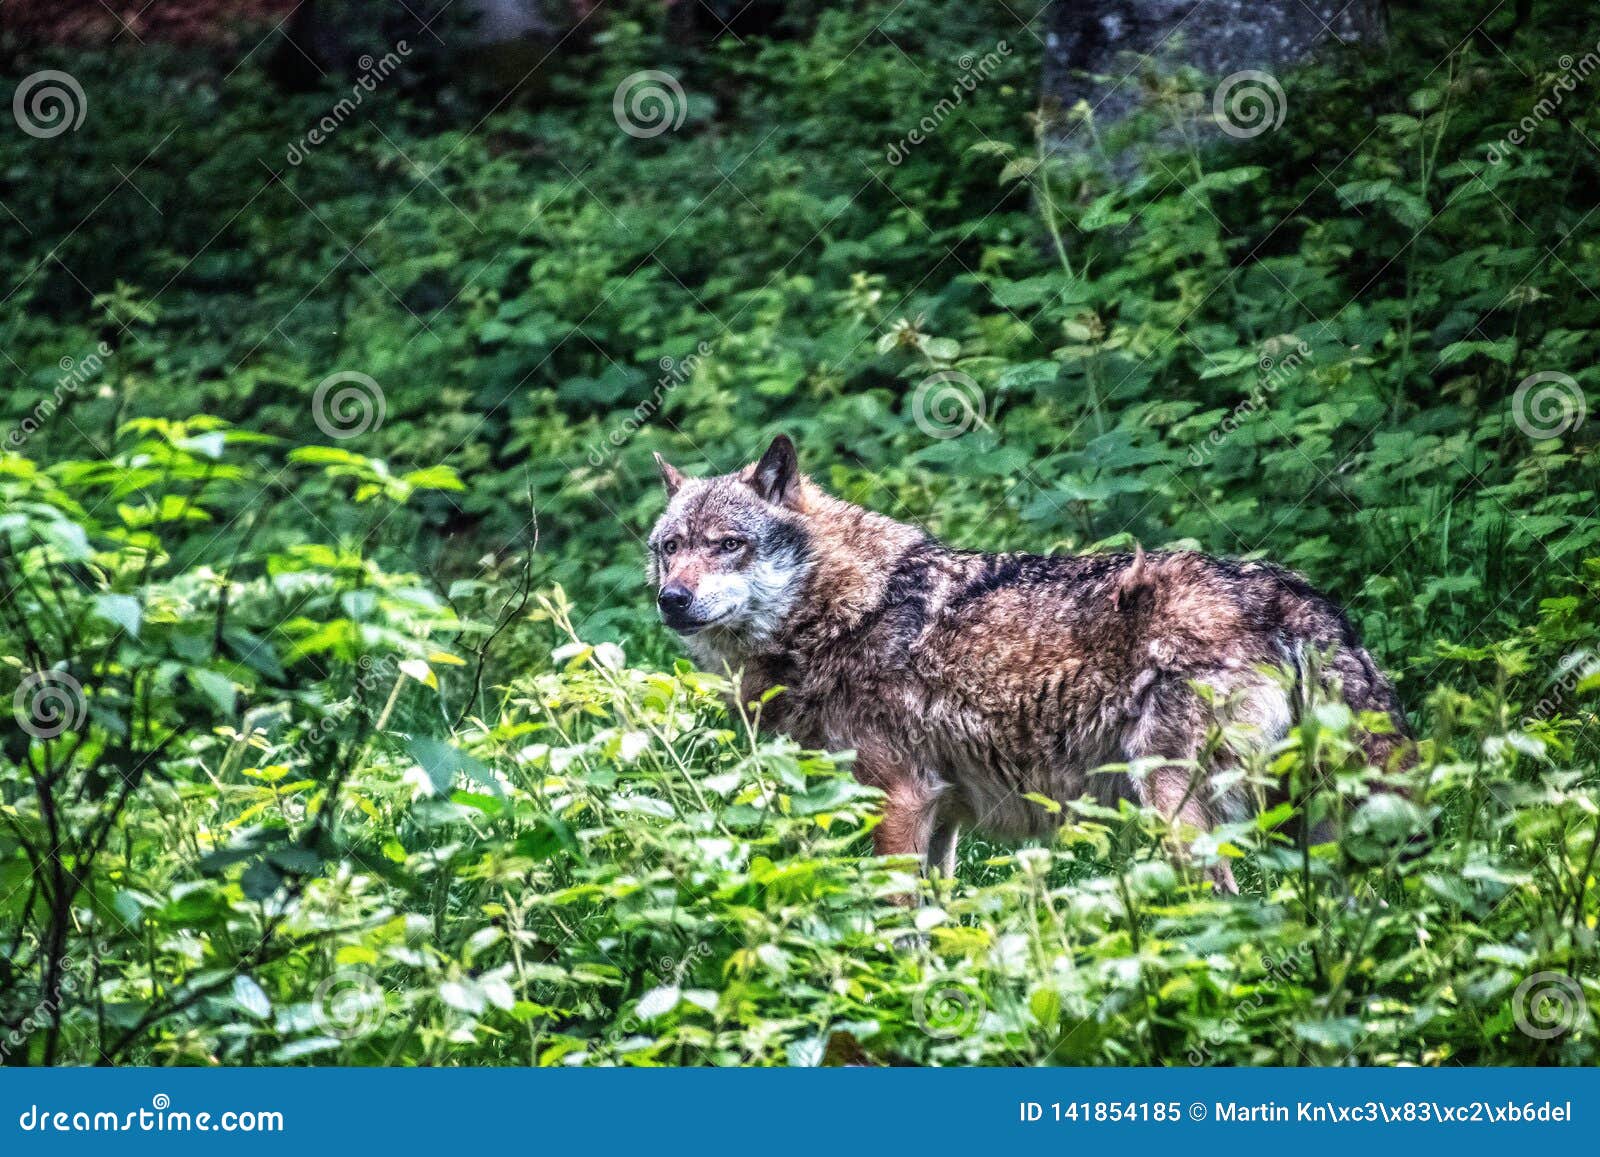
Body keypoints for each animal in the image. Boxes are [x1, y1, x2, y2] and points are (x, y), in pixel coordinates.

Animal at [647, 434, 1410, 892]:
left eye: (728, 544)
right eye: (669, 547)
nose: (671, 599)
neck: (845, 609)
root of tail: (1298, 596)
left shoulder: (900, 799)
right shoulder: (943, 813)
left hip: (1177, 805)